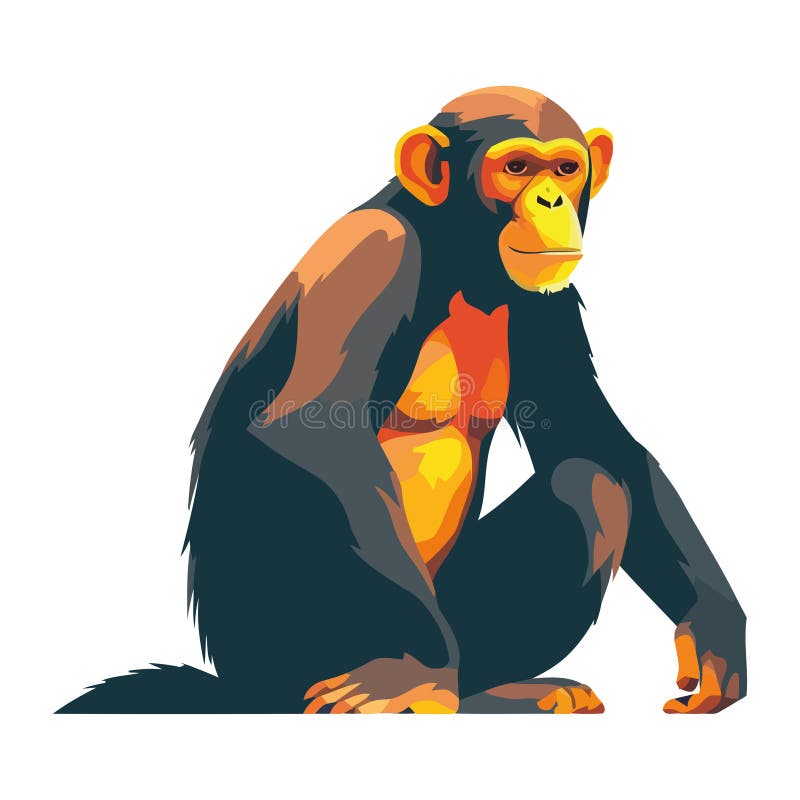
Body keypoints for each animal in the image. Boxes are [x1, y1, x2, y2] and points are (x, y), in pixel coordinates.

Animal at [58, 86, 746, 714]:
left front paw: (714, 630)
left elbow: (593, 434)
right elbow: (311, 428)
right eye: (517, 167)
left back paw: (501, 692)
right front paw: (416, 670)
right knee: (586, 489)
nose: (551, 200)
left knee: (591, 485)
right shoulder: (372, 255)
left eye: (565, 168)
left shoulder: (548, 303)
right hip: (301, 658)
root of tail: (239, 687)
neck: (462, 259)